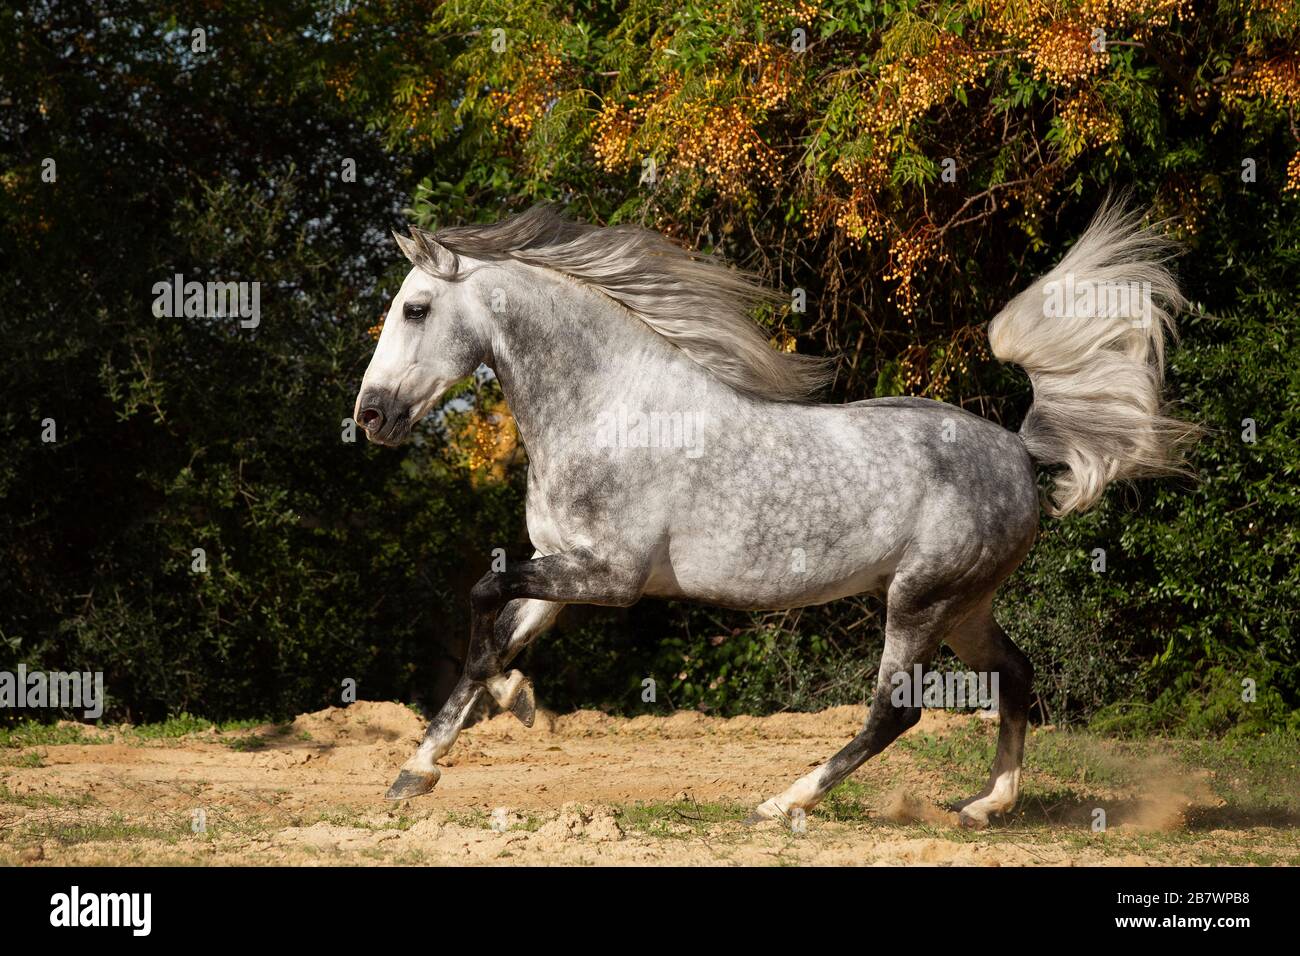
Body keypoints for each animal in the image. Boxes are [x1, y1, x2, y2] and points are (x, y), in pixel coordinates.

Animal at [353, 201, 1196, 827]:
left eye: (415, 308)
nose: (370, 416)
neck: (610, 410)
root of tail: (1021, 450)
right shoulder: (564, 572)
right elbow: (495, 636)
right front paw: (416, 771)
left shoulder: (607, 576)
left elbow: (482, 601)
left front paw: (507, 708)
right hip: (964, 607)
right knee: (1016, 676)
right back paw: (986, 806)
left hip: (919, 601)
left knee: (895, 714)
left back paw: (783, 803)